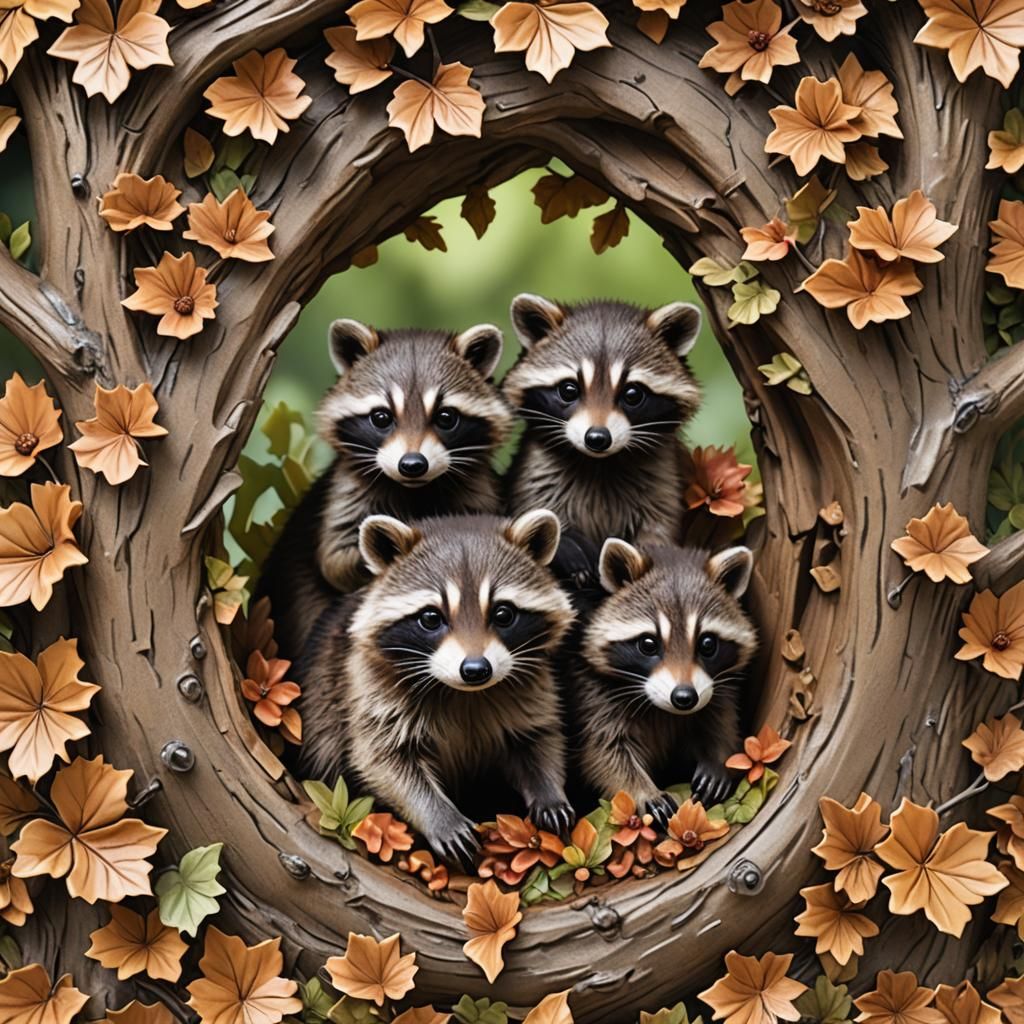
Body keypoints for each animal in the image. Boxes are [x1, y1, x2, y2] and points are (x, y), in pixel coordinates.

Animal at [257, 319, 514, 660]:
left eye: (446, 417)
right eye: (381, 417)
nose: (413, 464)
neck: (416, 487)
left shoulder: (477, 491)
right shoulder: (346, 492)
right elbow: (335, 560)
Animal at [296, 510, 576, 865]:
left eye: (503, 613)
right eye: (431, 618)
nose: (475, 670)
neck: (465, 694)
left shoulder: (532, 687)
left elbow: (538, 738)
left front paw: (549, 791)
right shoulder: (367, 687)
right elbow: (384, 760)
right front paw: (439, 817)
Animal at [502, 295, 703, 578]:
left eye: (633, 394)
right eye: (568, 390)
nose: (597, 438)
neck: (599, 463)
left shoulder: (662, 484)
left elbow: (659, 529)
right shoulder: (537, 474)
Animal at [571, 538, 757, 823]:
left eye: (707, 644)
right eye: (648, 644)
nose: (684, 698)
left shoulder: (717, 688)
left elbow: (721, 719)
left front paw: (718, 757)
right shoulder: (593, 693)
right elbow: (605, 752)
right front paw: (643, 791)